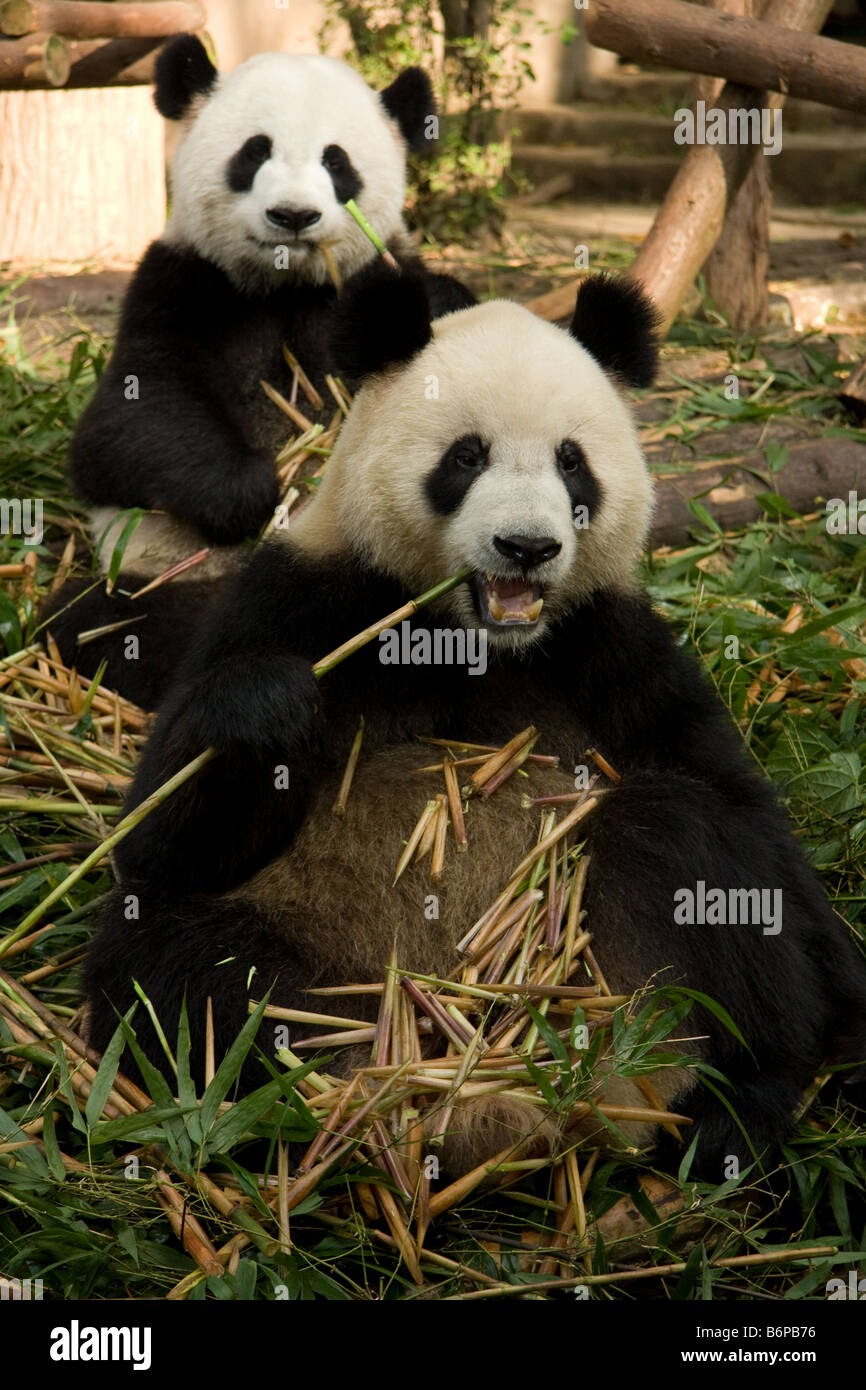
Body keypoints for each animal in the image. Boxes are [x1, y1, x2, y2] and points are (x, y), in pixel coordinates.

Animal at [41, 33, 474, 711]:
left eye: (336, 162)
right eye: (254, 151)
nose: (293, 215)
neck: (287, 287)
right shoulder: (182, 284)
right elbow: (124, 426)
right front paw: (253, 489)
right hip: (152, 577)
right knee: (96, 619)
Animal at [82, 266, 866, 1181]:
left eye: (572, 462)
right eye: (467, 456)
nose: (526, 547)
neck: (473, 640)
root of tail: (507, 1100)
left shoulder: (610, 642)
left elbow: (741, 807)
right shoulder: (300, 597)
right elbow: (158, 836)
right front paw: (266, 708)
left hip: (632, 975)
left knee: (694, 848)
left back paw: (732, 1116)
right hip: (310, 957)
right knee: (174, 963)